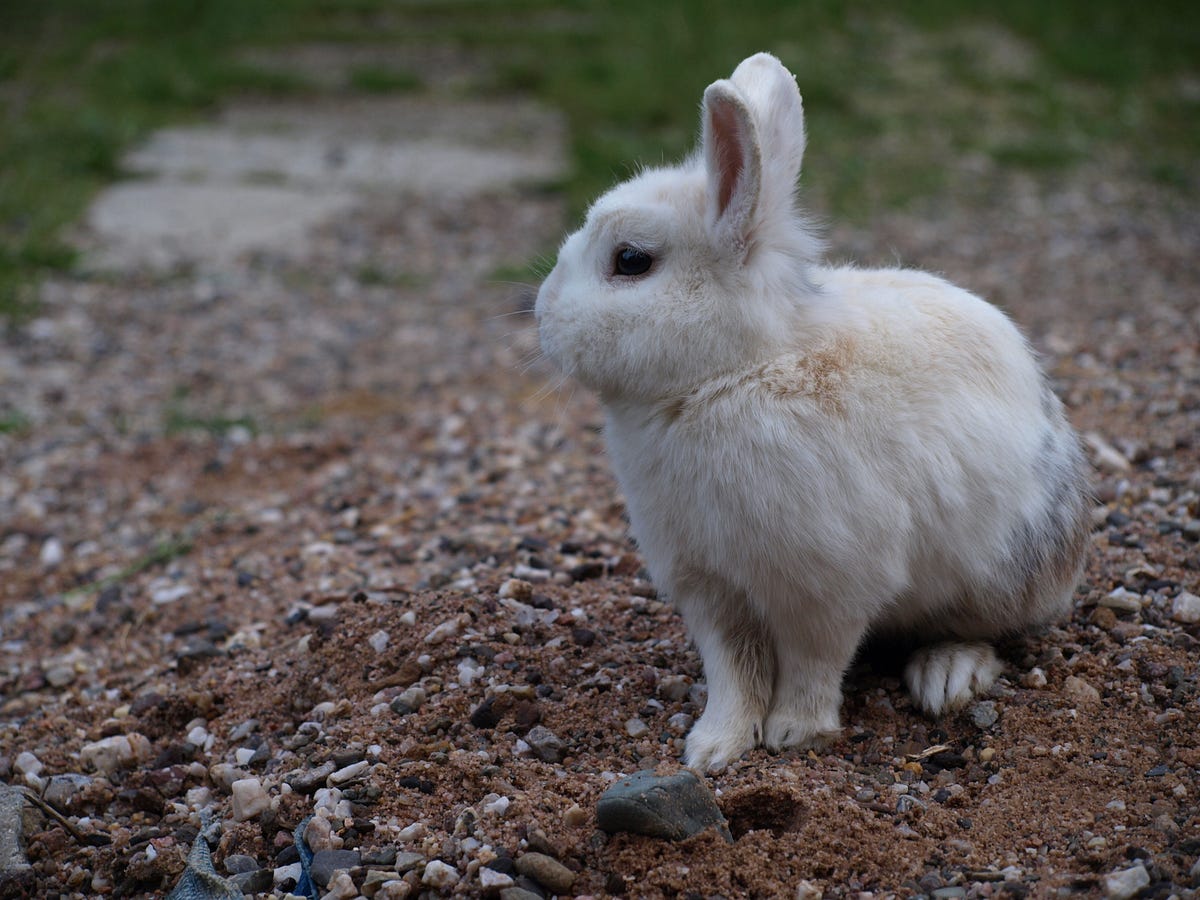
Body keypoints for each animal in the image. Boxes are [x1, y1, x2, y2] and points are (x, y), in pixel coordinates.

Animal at [535, 52, 1091, 771]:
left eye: (630, 261)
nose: (542, 314)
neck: (731, 374)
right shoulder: (710, 588)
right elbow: (733, 669)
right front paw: (712, 749)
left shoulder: (827, 586)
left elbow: (812, 663)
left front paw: (795, 733)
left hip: (997, 576)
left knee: (992, 633)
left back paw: (946, 676)